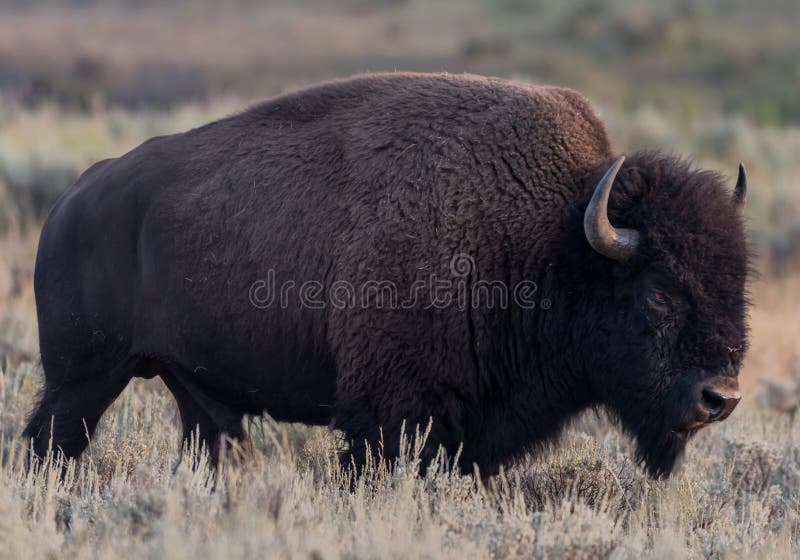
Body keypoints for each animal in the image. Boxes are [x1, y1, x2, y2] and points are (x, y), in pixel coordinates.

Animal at [24, 73, 749, 477]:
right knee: (46, 445)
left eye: (737, 284)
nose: (721, 397)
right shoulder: (387, 418)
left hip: (196, 396)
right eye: (659, 292)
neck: (552, 236)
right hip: (83, 380)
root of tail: (71, 200)